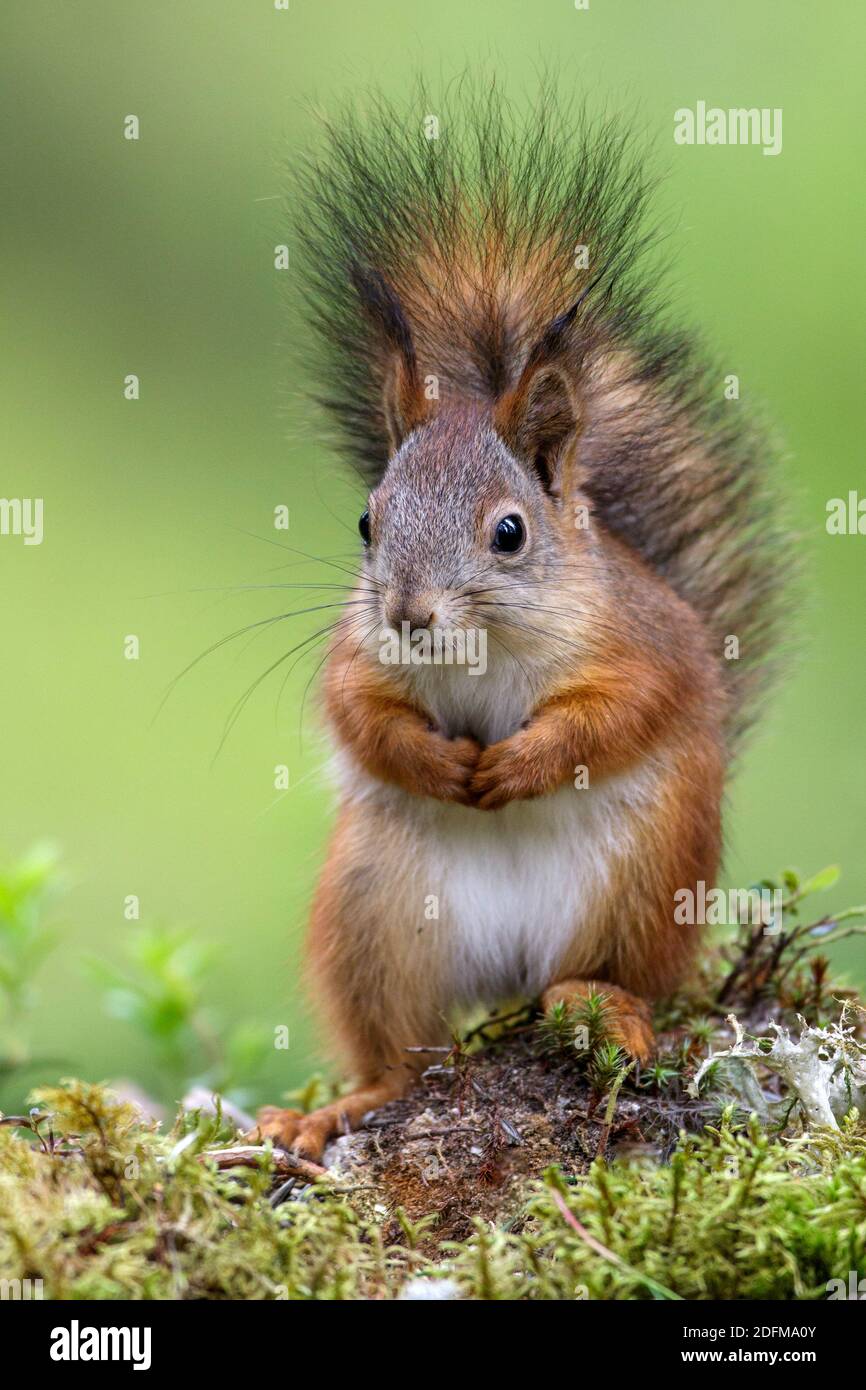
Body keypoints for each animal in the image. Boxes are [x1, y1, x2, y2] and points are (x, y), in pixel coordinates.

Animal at [250, 88, 786, 1164]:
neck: (482, 648)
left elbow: (620, 713)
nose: (411, 614)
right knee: (402, 1055)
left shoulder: (643, 646)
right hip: (373, 912)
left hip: (644, 879)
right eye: (366, 521)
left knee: (607, 975)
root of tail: (508, 974)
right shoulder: (357, 655)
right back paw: (339, 1106)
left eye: (509, 531)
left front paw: (517, 764)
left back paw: (600, 1003)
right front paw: (440, 763)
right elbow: (360, 714)